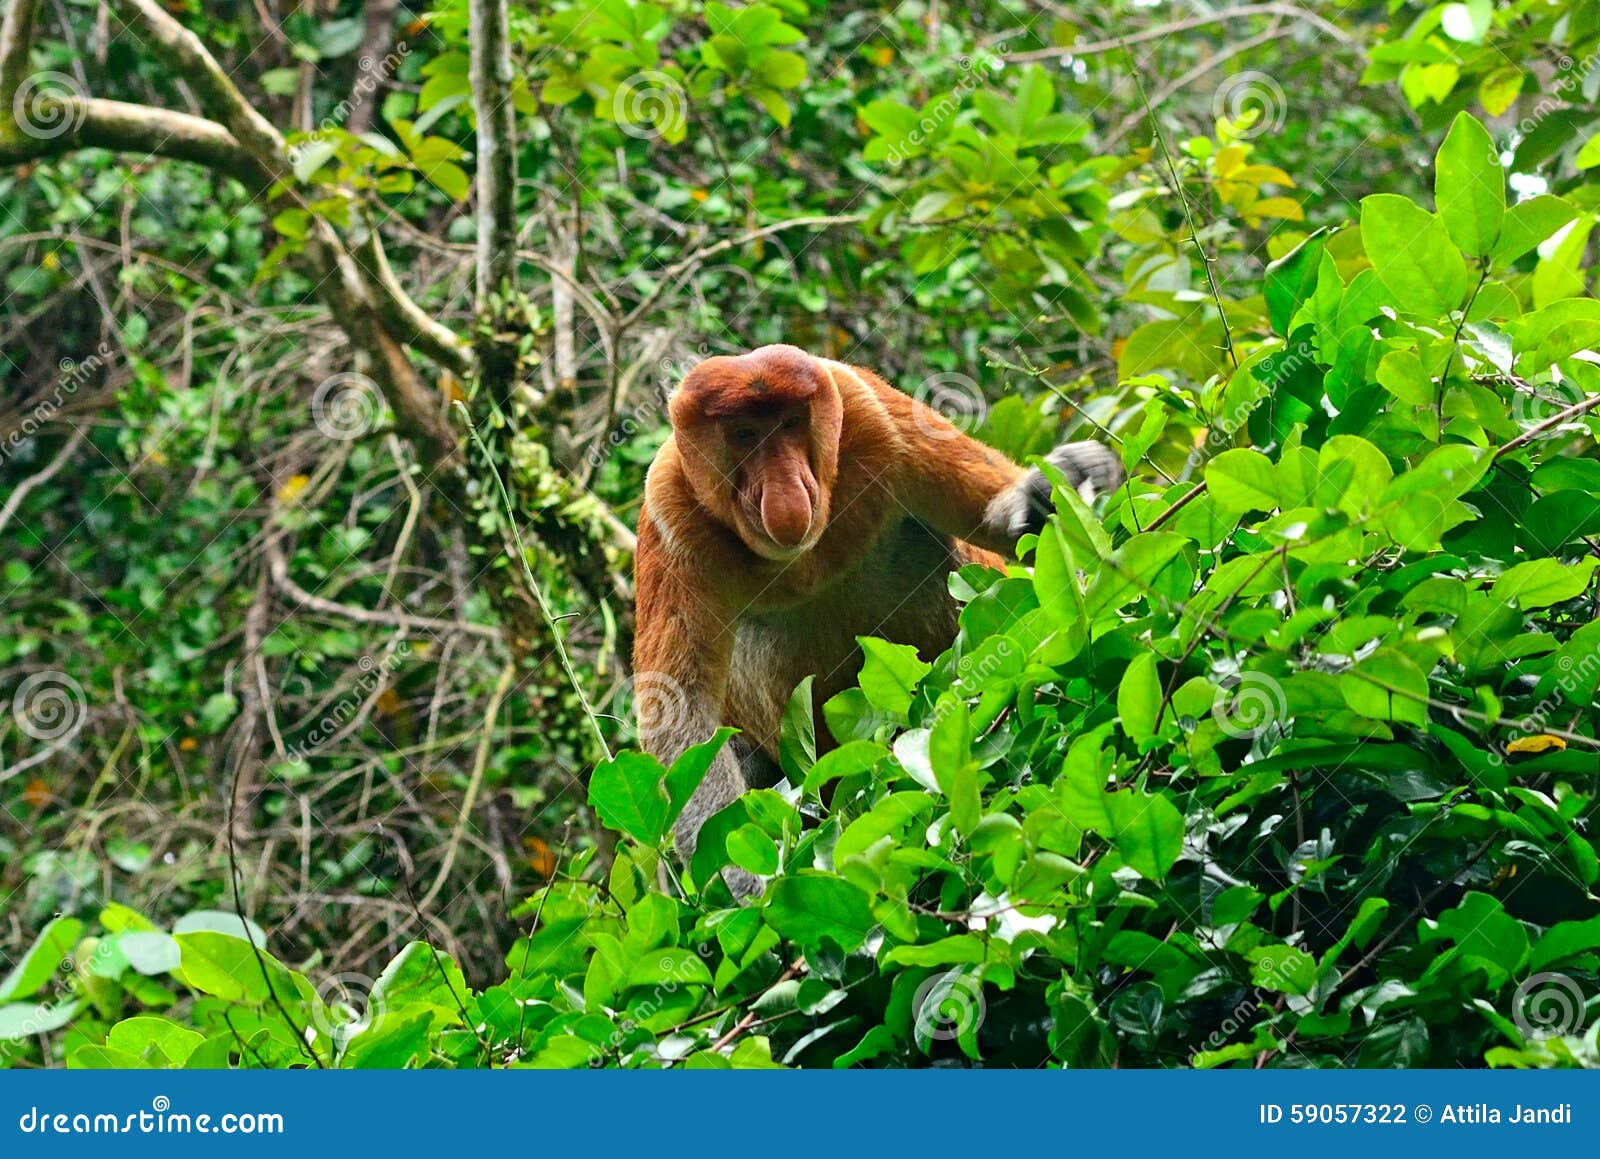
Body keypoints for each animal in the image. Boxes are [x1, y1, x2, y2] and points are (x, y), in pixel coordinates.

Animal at [633, 344, 1122, 895]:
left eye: (789, 424)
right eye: (744, 434)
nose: (786, 492)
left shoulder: (872, 411)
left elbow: (998, 531)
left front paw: (1054, 487)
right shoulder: (670, 508)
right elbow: (679, 708)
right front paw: (750, 887)